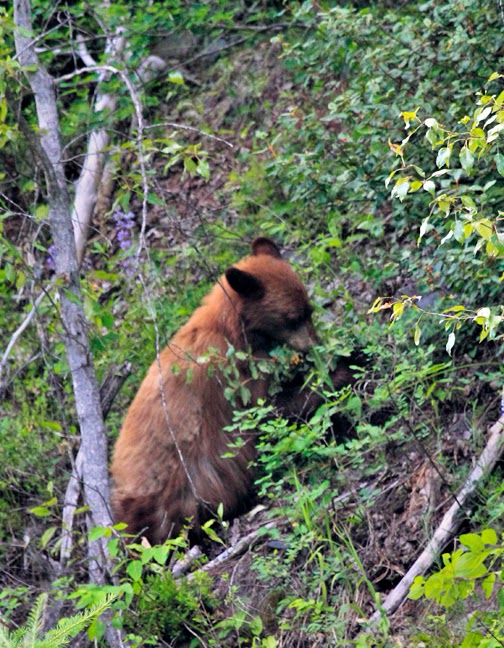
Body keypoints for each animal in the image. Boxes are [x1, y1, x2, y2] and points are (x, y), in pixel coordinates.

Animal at [111, 237, 323, 544]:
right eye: (293, 318)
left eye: (310, 311)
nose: (315, 345)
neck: (231, 329)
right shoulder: (235, 378)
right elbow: (270, 410)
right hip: (183, 485)